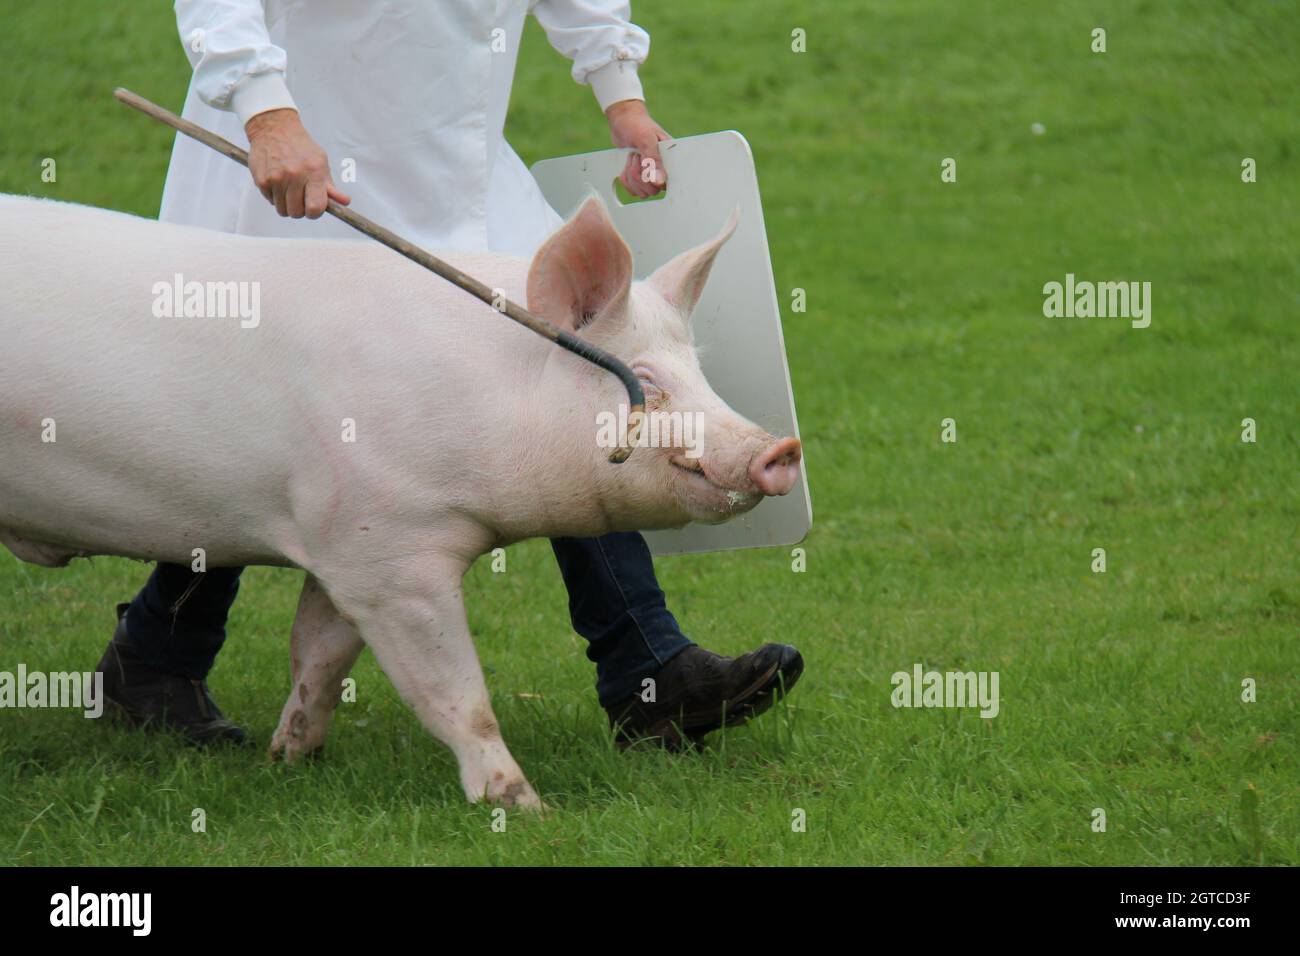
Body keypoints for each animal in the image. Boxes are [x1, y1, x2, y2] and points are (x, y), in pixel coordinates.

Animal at [0, 193, 802, 808]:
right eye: (646, 378)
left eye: (698, 369)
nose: (780, 449)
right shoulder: (389, 552)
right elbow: (454, 691)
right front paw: (524, 807)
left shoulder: (338, 543)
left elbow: (319, 657)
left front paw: (287, 763)